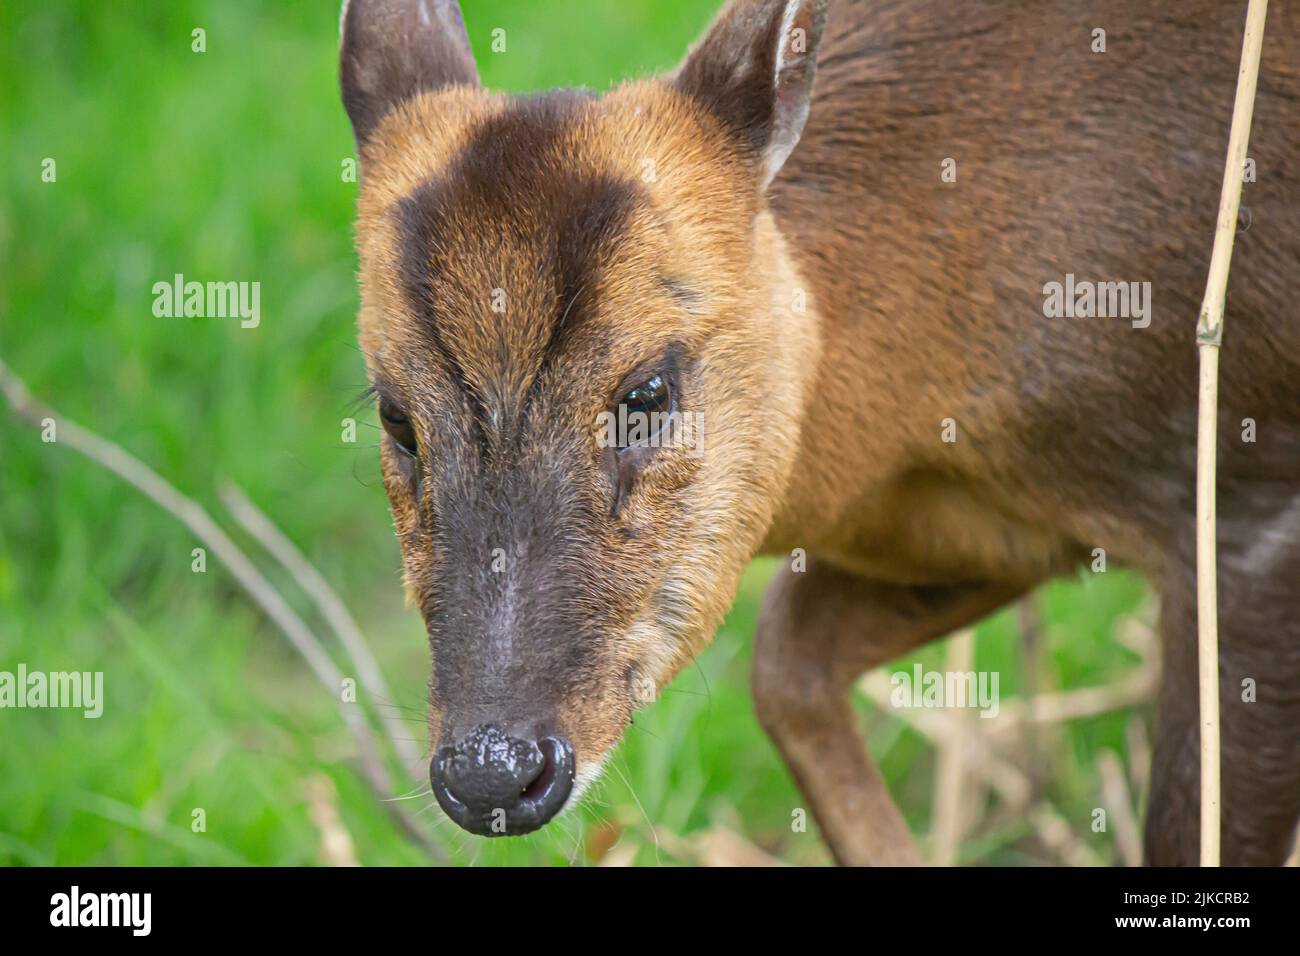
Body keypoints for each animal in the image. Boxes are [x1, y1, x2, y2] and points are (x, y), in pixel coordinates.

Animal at [339, 0, 1300, 865]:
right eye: (395, 416)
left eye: (645, 391)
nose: (492, 773)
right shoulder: (977, 534)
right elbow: (785, 667)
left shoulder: (1249, 496)